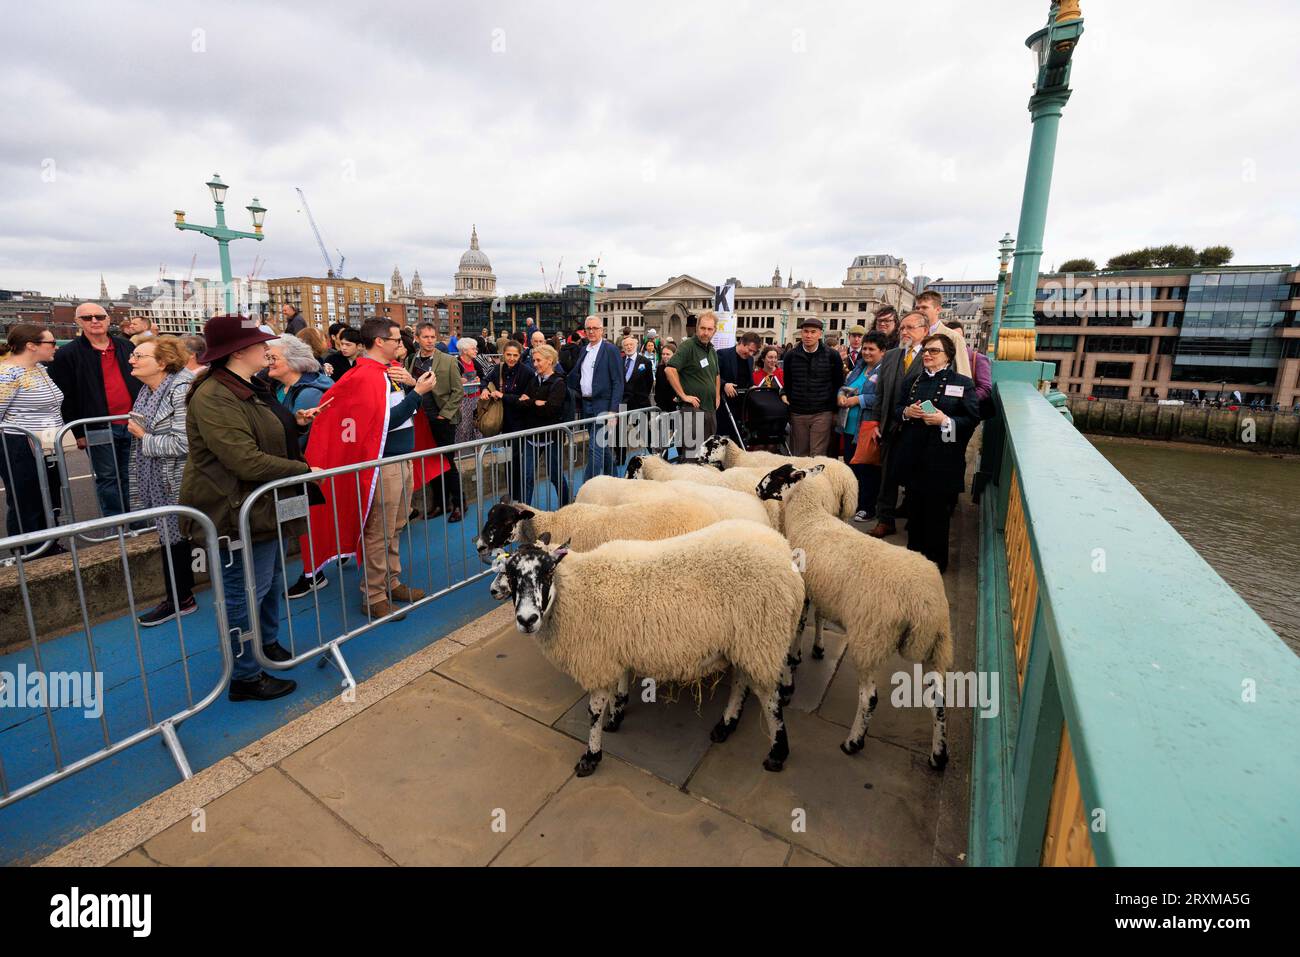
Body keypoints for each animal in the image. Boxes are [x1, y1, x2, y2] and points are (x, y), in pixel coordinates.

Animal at [499, 522, 804, 776]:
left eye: (548, 571)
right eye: (511, 575)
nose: (527, 619)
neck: (577, 590)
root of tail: (785, 552)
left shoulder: (597, 659)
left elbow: (594, 711)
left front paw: (591, 756)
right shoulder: (616, 647)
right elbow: (619, 688)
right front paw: (616, 715)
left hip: (762, 636)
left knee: (770, 697)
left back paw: (777, 753)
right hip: (745, 641)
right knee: (742, 680)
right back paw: (726, 725)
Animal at [756, 464, 953, 770]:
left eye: (777, 476)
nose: (756, 488)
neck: (809, 517)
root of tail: (924, 603)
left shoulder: (804, 586)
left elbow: (798, 628)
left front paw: (790, 677)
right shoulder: (822, 589)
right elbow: (819, 616)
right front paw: (815, 650)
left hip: (870, 639)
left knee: (870, 698)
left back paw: (853, 743)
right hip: (938, 644)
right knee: (939, 700)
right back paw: (938, 756)